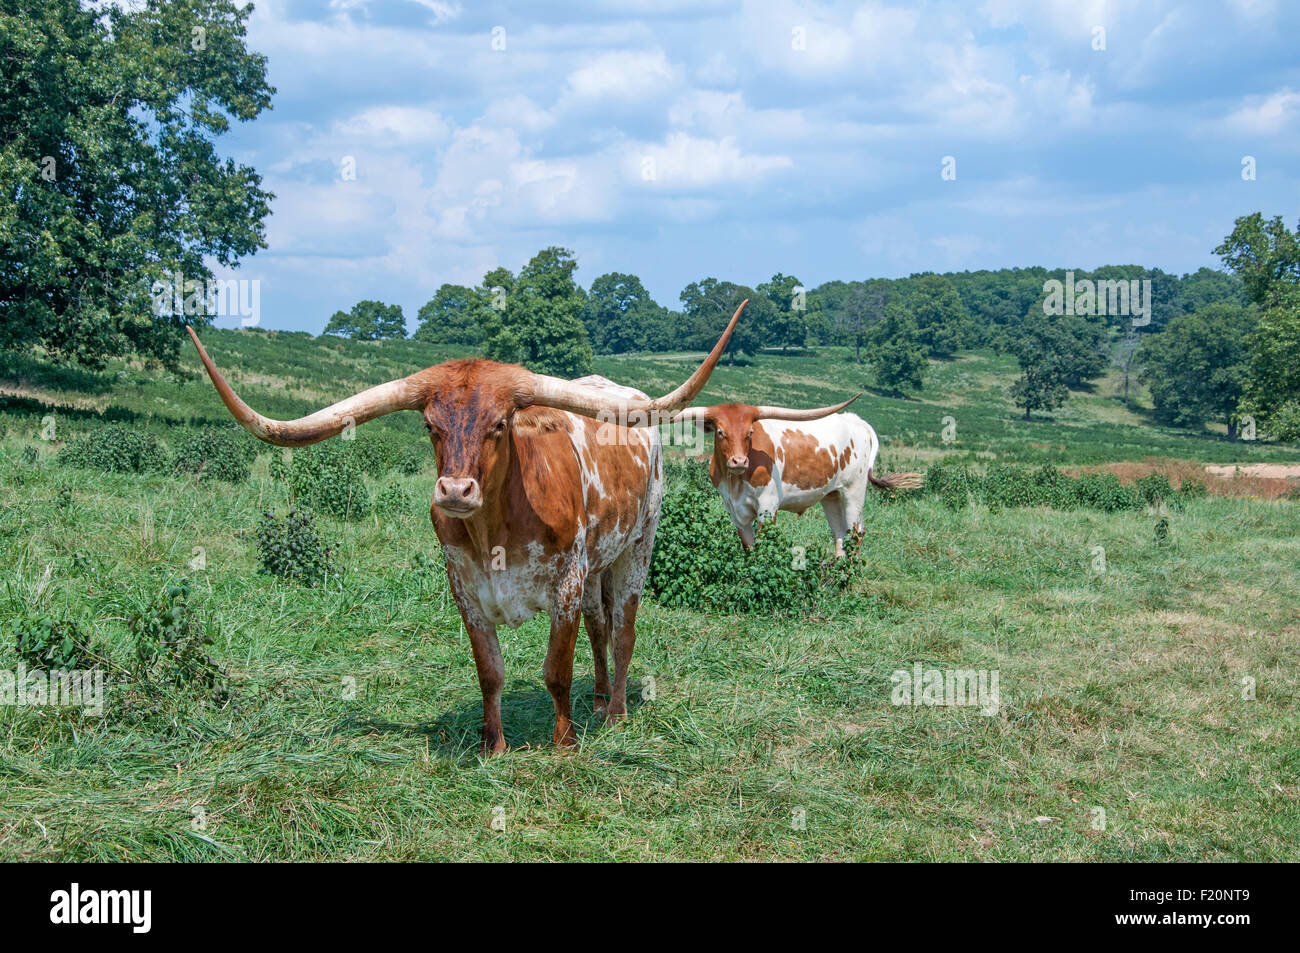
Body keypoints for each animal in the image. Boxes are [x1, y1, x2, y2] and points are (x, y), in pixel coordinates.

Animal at [185, 302, 745, 754]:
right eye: (430, 426)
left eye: (498, 424)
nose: (455, 491)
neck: (497, 531)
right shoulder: (467, 593)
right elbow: (490, 673)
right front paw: (492, 745)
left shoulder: (564, 586)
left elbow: (556, 672)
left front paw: (564, 744)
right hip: (596, 564)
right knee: (599, 626)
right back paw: (602, 695)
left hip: (638, 544)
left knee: (624, 629)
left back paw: (617, 713)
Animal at [670, 400, 918, 556]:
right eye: (721, 432)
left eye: (749, 433)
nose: (739, 461)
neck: (736, 481)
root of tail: (856, 420)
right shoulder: (734, 509)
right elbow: (748, 546)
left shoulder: (768, 505)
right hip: (831, 494)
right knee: (840, 533)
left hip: (853, 491)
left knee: (856, 532)